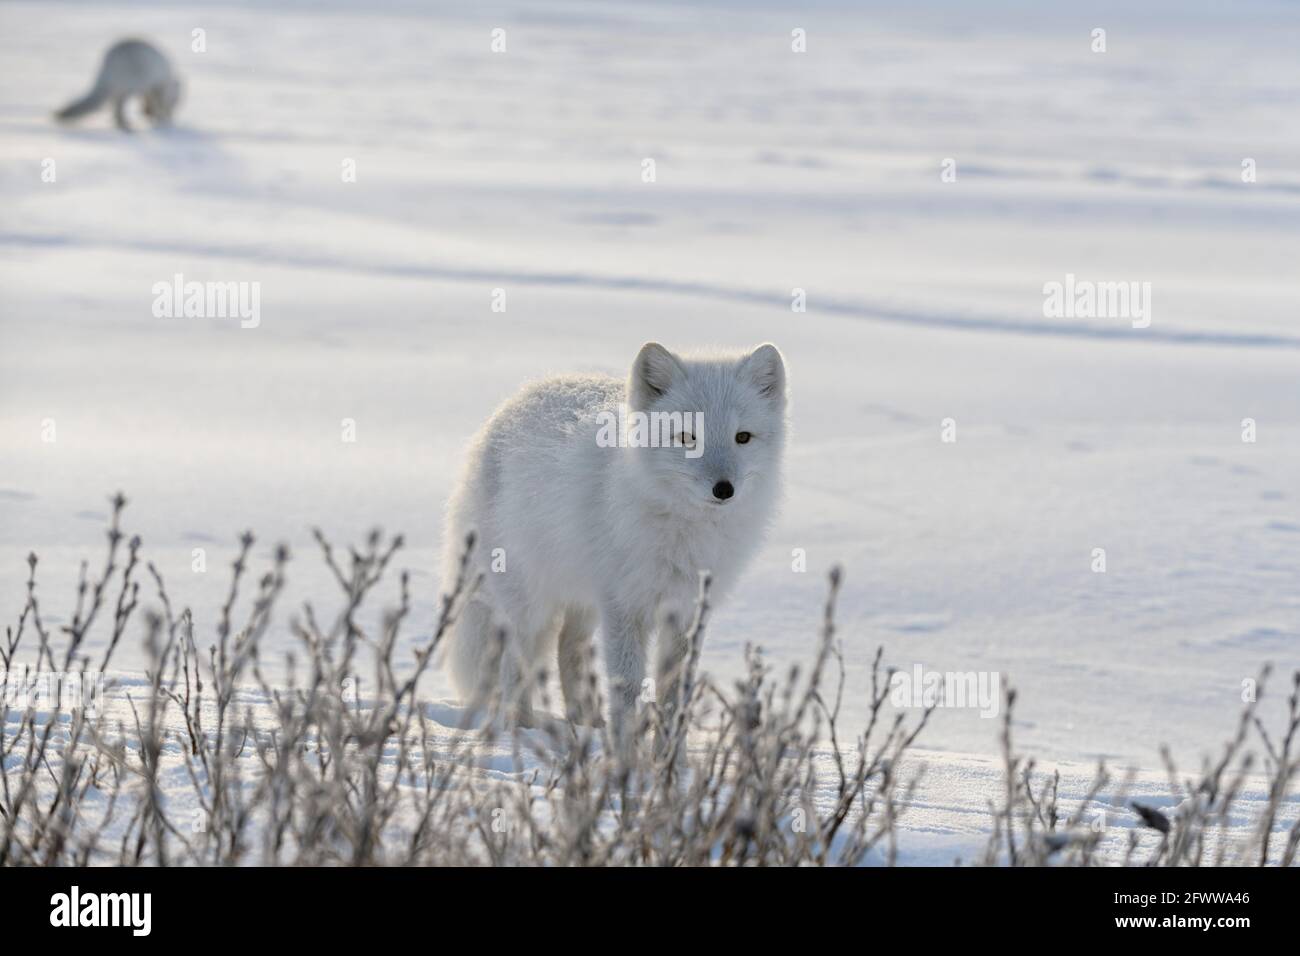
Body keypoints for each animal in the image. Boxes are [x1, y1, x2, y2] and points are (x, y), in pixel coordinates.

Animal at [440, 342, 787, 750]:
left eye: (743, 437)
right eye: (688, 437)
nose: (724, 489)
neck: (683, 530)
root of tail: (519, 397)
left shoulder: (685, 611)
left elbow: (674, 697)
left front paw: (671, 760)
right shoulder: (624, 606)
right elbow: (627, 691)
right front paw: (626, 760)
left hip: (585, 603)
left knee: (568, 648)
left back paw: (586, 722)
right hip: (530, 602)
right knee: (514, 661)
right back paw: (521, 732)